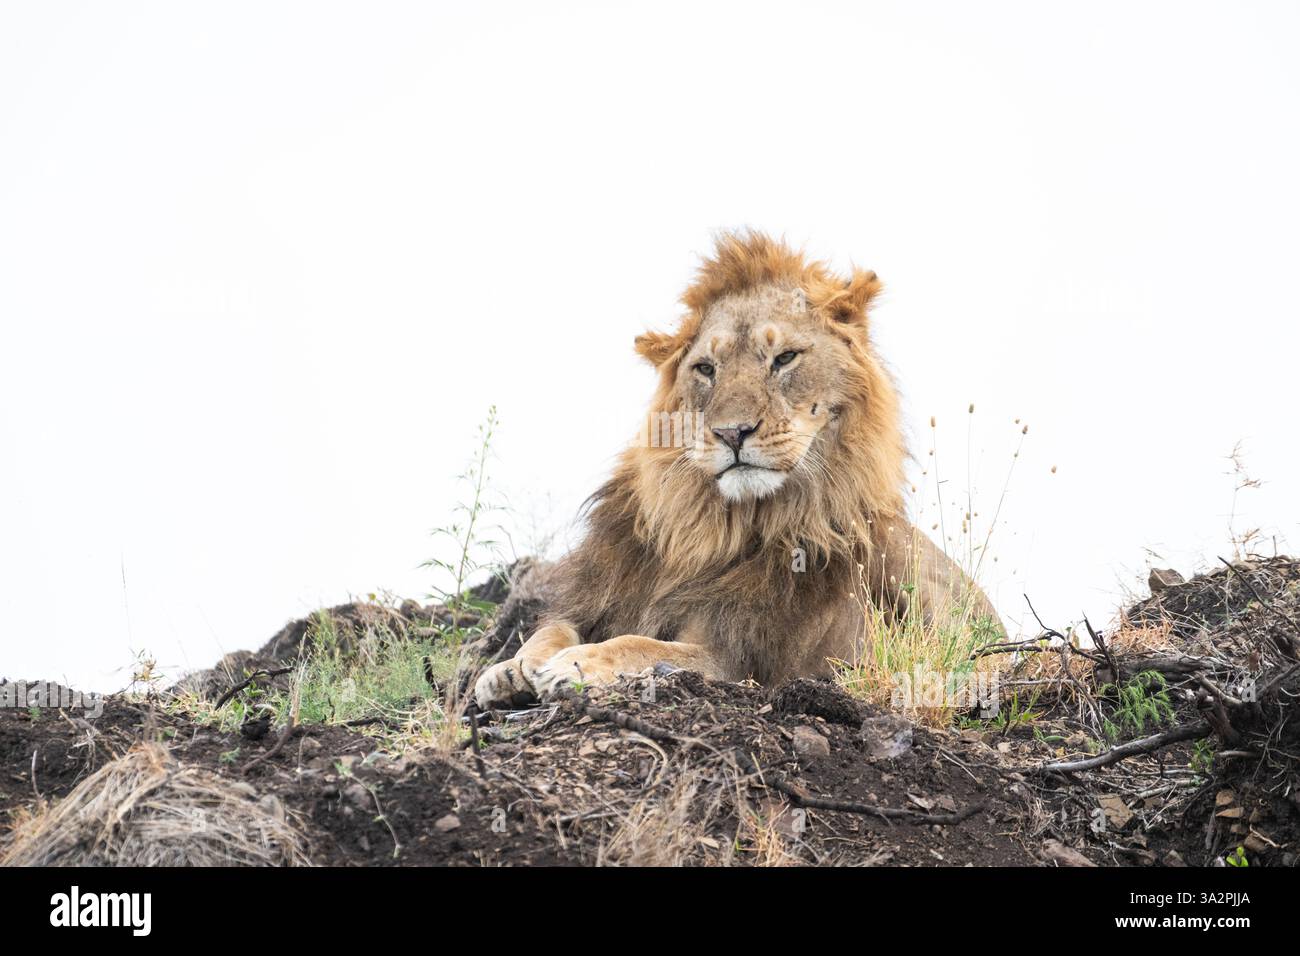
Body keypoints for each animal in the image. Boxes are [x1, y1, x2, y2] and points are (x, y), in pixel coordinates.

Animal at [475, 231, 1000, 708]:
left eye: (784, 358)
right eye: (706, 369)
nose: (732, 433)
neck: (707, 527)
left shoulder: (731, 658)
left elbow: (636, 645)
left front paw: (576, 664)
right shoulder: (601, 596)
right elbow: (554, 627)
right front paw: (512, 667)